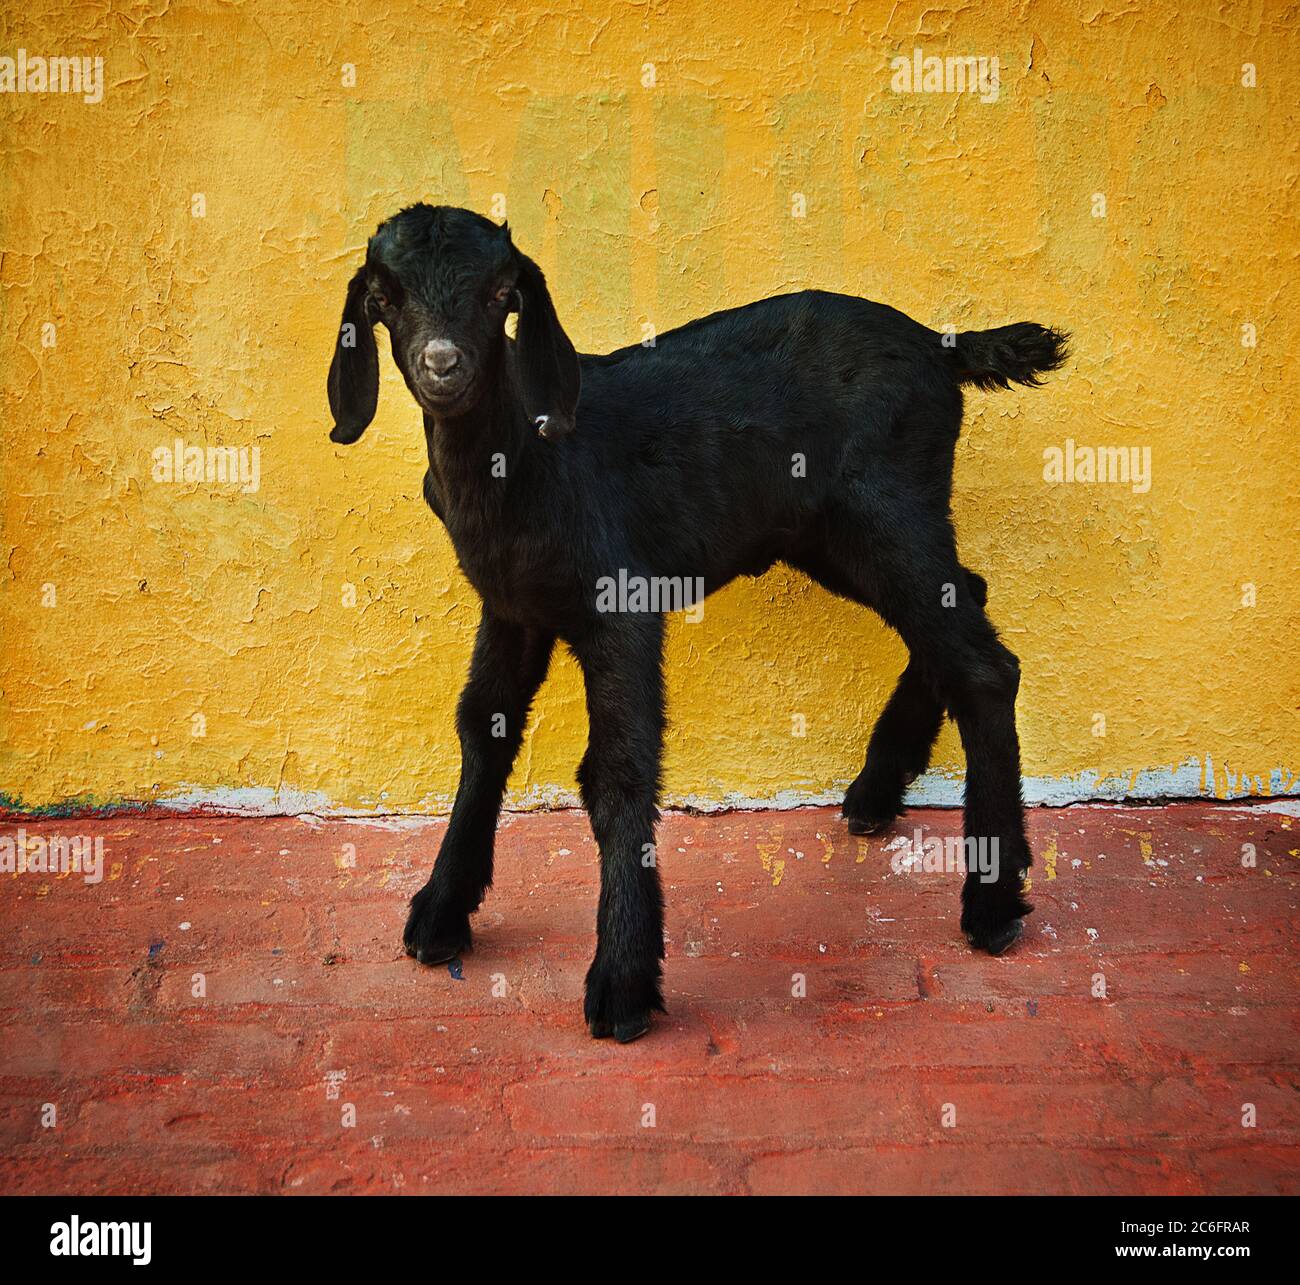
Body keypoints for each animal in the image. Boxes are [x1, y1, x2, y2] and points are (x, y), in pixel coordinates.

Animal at [328, 203, 1068, 1042]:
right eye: (384, 298)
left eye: (498, 295)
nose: (443, 365)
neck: (525, 462)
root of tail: (943, 347)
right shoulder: (512, 609)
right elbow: (482, 727)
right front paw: (441, 911)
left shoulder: (621, 603)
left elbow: (615, 771)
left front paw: (622, 979)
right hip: (831, 535)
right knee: (963, 602)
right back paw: (880, 787)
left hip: (885, 508)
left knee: (983, 665)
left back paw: (993, 901)